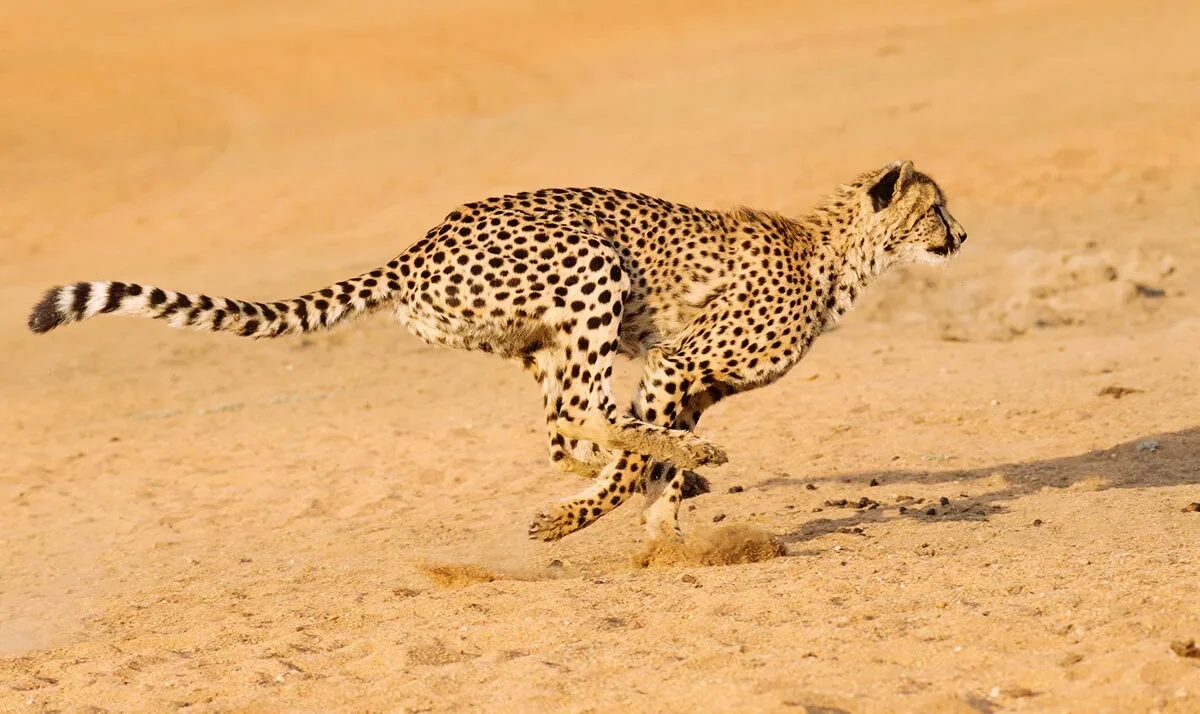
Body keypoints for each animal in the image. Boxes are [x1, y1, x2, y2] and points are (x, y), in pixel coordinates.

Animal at [25, 160, 964, 542]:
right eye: (935, 209)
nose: (961, 236)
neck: (839, 255)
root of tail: (422, 242)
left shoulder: (688, 382)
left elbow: (642, 461)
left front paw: (663, 521)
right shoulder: (674, 366)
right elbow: (639, 455)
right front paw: (602, 516)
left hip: (537, 337)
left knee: (561, 427)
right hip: (591, 271)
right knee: (581, 413)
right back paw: (654, 471)